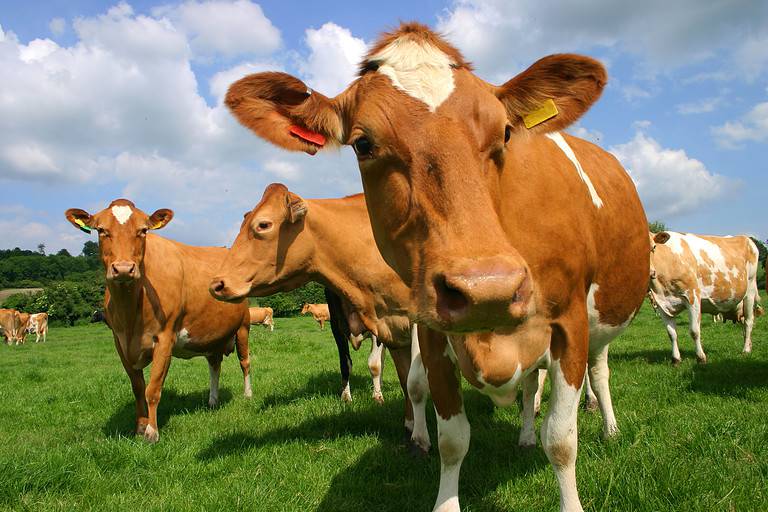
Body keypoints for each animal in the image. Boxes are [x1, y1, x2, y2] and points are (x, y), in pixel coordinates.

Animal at [65, 199, 252, 443]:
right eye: (101, 230)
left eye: (143, 230)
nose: (123, 268)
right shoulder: (120, 342)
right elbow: (137, 388)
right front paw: (140, 426)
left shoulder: (165, 338)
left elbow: (152, 389)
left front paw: (152, 432)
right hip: (212, 334)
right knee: (214, 364)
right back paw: (212, 401)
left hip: (244, 326)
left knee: (245, 362)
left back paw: (248, 394)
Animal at [209, 184, 426, 443]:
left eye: (263, 225)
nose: (217, 284)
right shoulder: (347, 325)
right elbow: (350, 365)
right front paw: (348, 397)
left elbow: (394, 371)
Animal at [649, 231, 761, 364]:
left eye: (653, 247)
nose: (650, 272)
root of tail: (746, 238)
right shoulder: (662, 303)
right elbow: (671, 334)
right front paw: (676, 359)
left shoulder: (692, 296)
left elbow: (694, 331)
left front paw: (700, 357)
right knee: (744, 321)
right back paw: (749, 344)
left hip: (750, 290)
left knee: (748, 321)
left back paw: (746, 349)